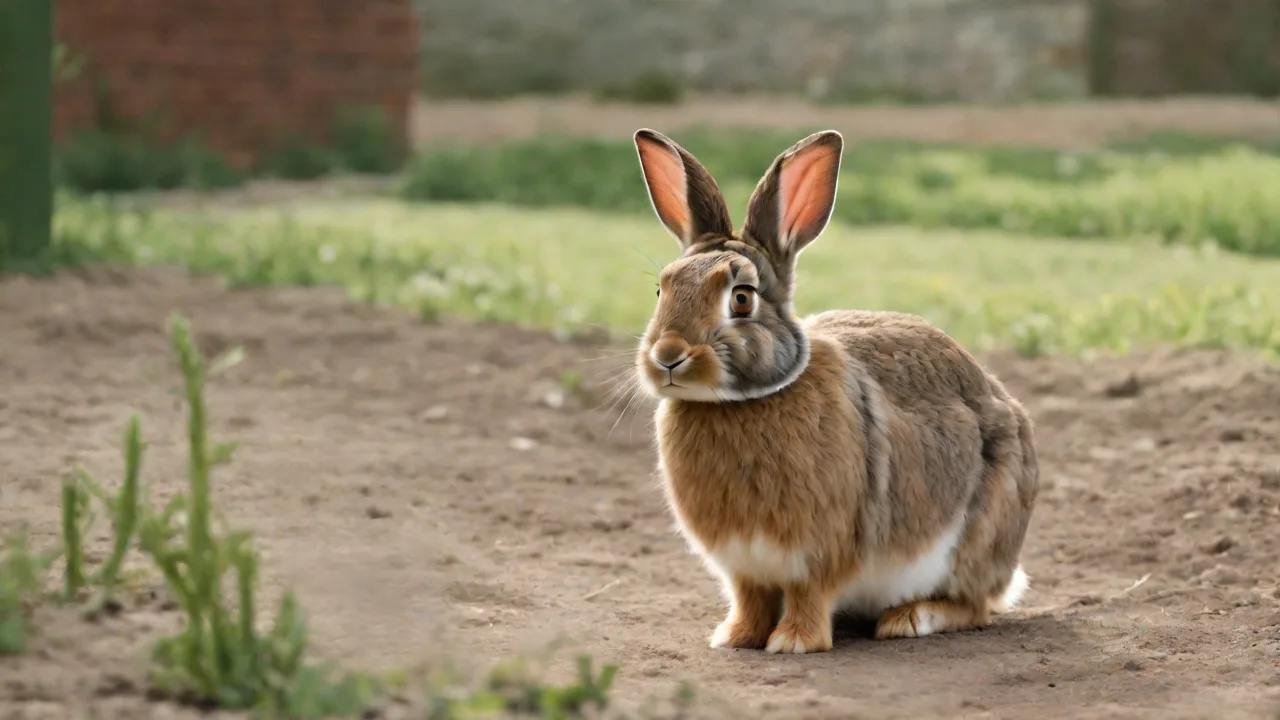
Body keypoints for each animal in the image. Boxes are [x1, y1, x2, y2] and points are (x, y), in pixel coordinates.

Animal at [629, 128, 1039, 654]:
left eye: (741, 299)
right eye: (662, 290)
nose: (667, 356)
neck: (743, 401)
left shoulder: (822, 551)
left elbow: (810, 594)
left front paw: (794, 642)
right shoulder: (743, 567)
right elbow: (750, 599)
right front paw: (734, 637)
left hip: (977, 538)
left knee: (975, 605)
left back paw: (910, 618)